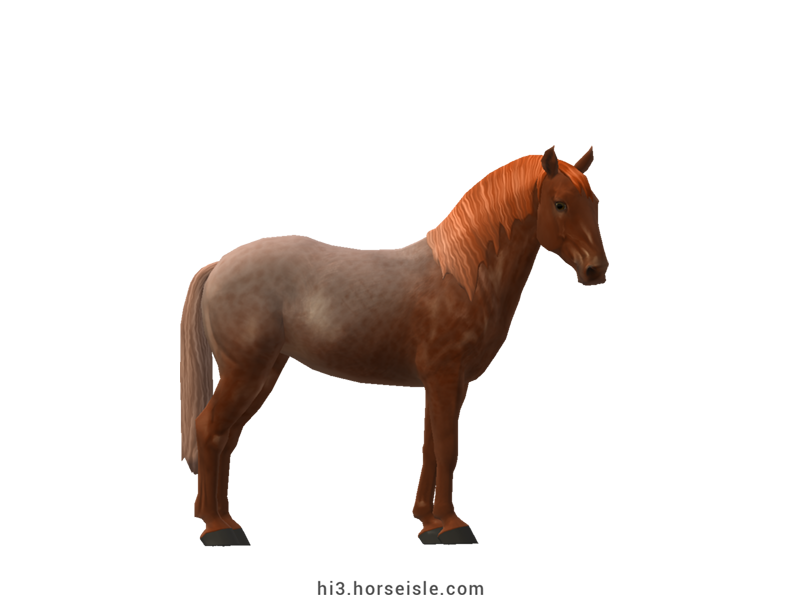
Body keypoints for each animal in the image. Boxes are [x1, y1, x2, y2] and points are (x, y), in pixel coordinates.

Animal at [180, 145, 607, 536]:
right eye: (560, 204)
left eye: (590, 200)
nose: (594, 268)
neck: (463, 277)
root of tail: (219, 266)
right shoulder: (443, 376)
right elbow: (448, 446)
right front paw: (451, 522)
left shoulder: (446, 382)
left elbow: (432, 448)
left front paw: (426, 518)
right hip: (243, 372)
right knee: (209, 430)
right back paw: (214, 524)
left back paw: (219, 515)